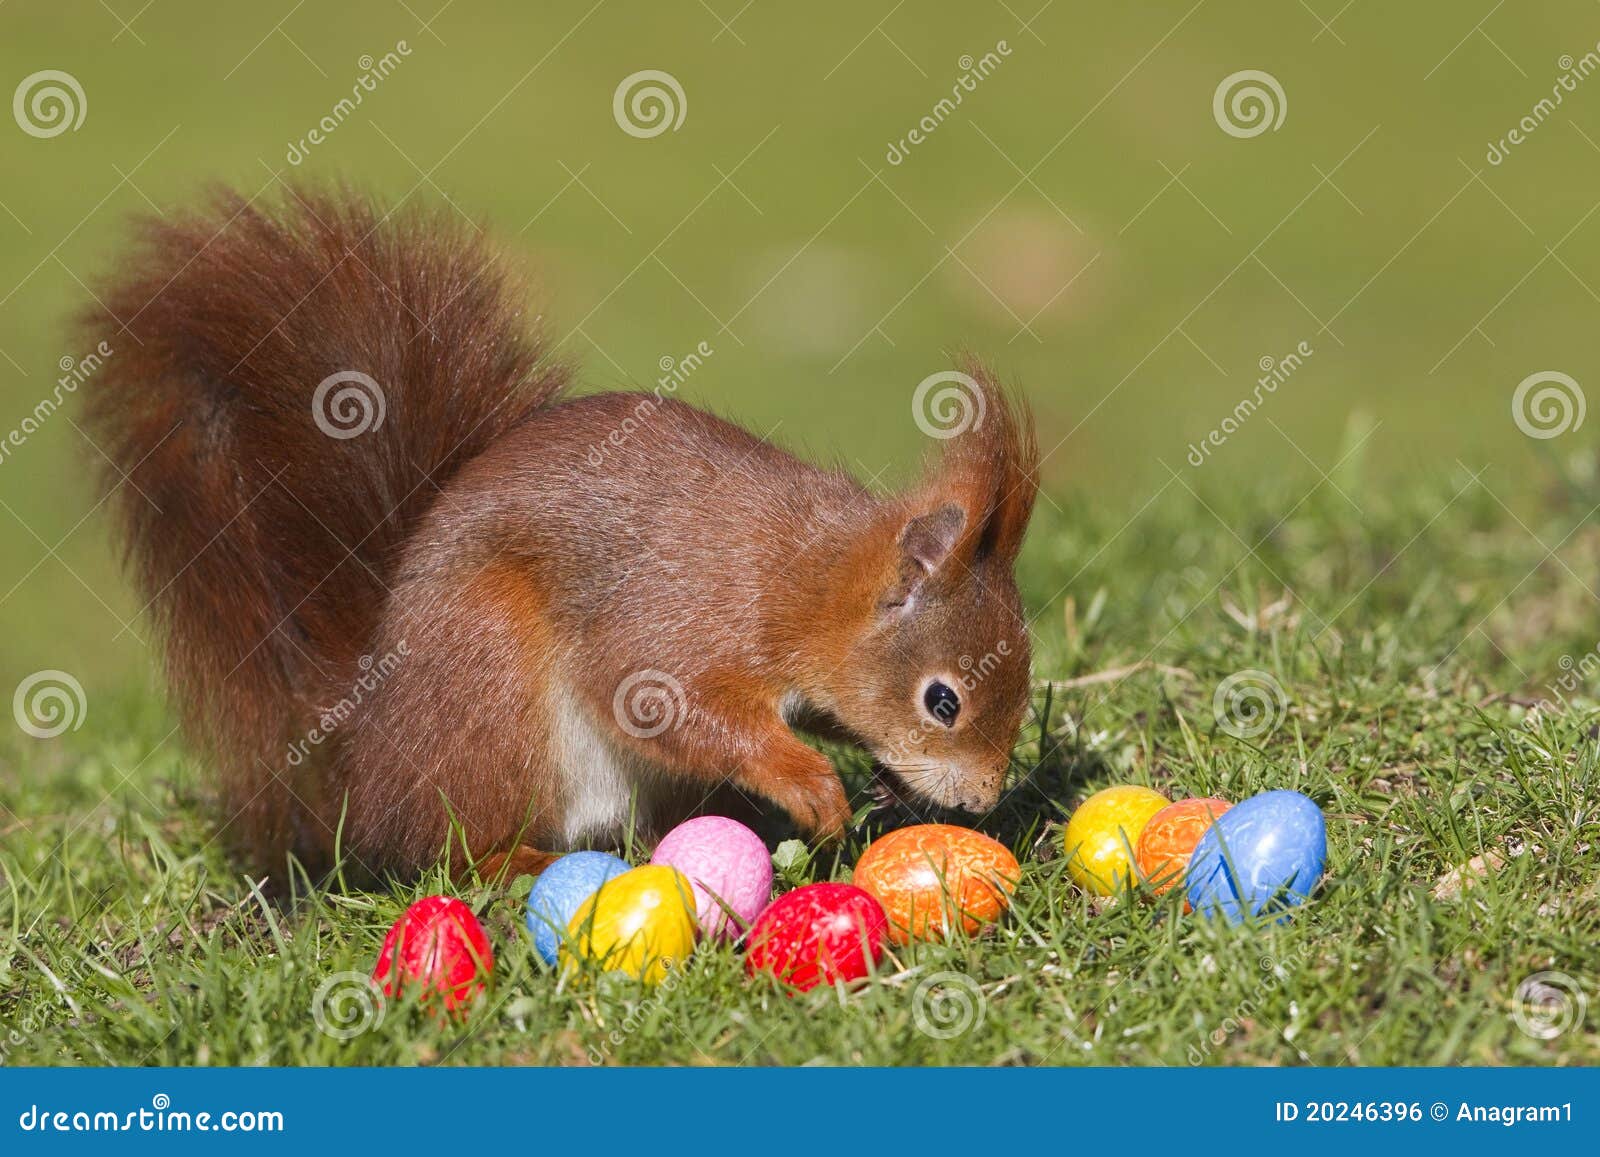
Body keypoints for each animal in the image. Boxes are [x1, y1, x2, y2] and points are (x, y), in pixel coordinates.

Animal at [80, 186, 1040, 883]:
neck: (807, 579)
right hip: (491, 678)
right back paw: (519, 860)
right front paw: (807, 781)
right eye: (943, 700)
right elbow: (660, 698)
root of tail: (367, 736)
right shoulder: (683, 622)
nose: (985, 800)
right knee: (449, 848)